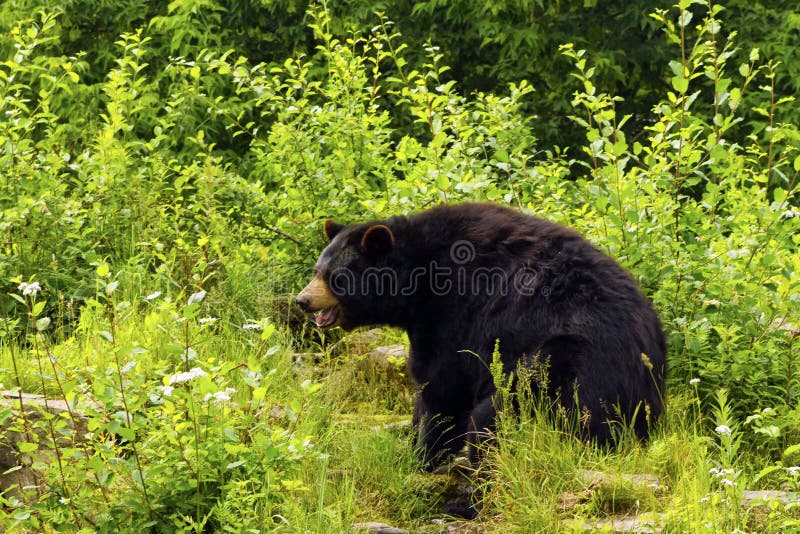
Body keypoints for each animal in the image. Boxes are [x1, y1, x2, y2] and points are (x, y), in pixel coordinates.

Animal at [296, 203, 666, 471]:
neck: (417, 279)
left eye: (336, 276)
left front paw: (422, 453)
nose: (302, 300)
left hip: (563, 362)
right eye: (317, 269)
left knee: (498, 413)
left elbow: (442, 386)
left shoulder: (452, 314)